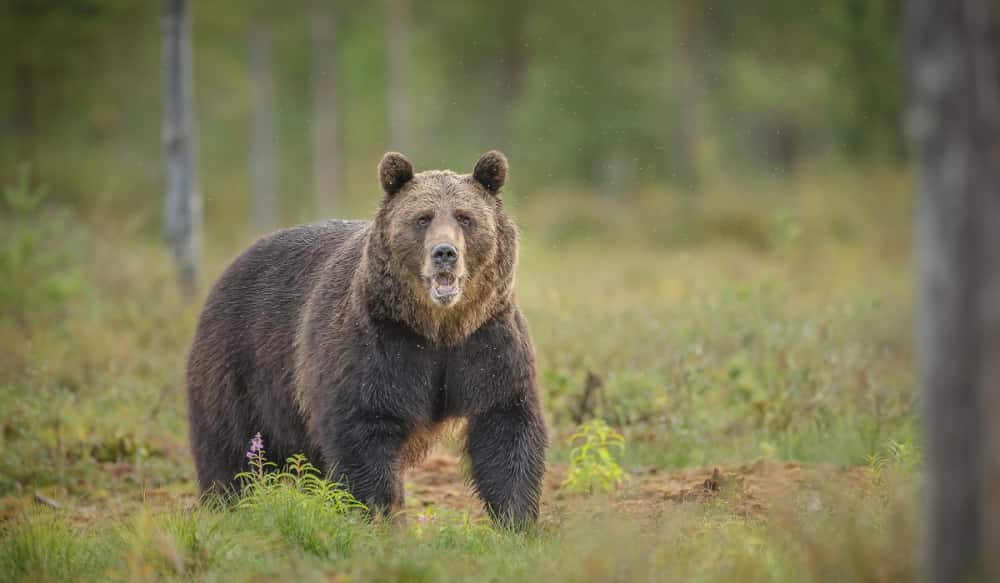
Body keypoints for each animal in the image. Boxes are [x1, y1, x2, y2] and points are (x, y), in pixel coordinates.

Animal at [186, 150, 548, 528]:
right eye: (422, 218)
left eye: (465, 217)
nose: (445, 253)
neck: (438, 327)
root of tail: (231, 267)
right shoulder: (380, 343)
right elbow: (363, 428)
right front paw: (378, 514)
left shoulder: (485, 341)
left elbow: (504, 422)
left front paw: (516, 520)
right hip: (240, 361)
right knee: (229, 445)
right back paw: (227, 506)